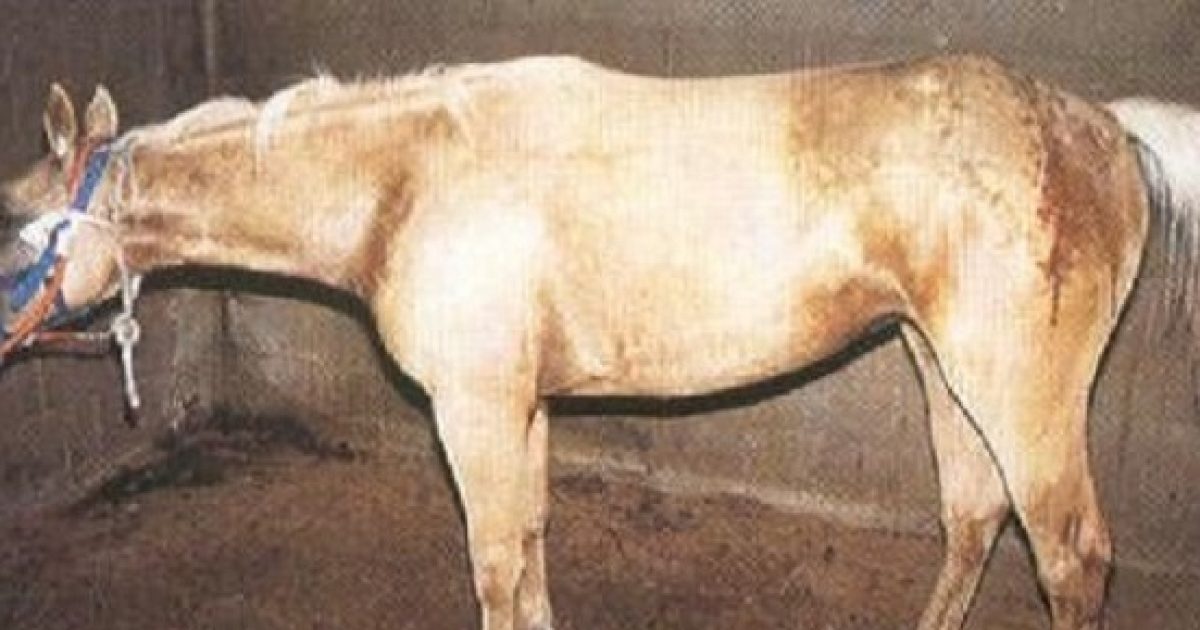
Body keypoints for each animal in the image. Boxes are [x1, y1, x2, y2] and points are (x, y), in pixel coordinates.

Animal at [0, 53, 1195, 630]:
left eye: (16, 223)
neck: (409, 181)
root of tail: (1098, 121)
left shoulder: (477, 409)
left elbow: (495, 565)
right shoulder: (521, 406)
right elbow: (530, 552)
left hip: (1017, 390)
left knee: (1070, 555)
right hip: (942, 370)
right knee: (974, 518)